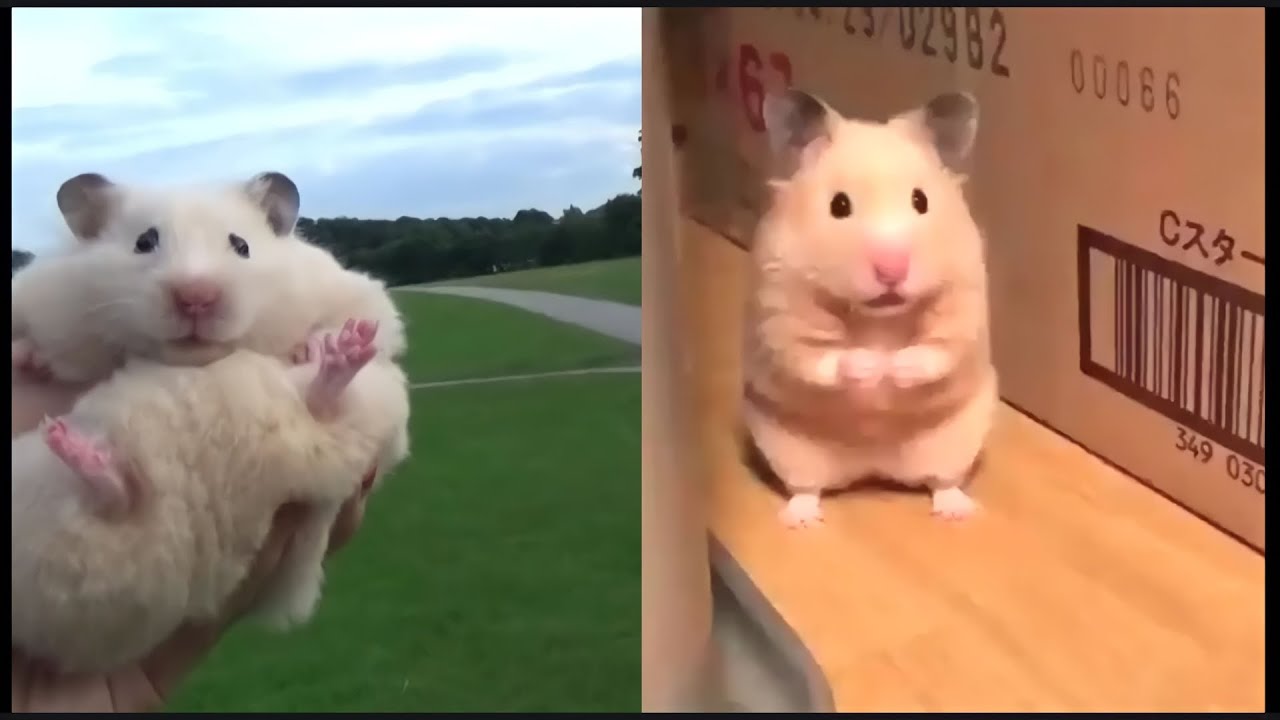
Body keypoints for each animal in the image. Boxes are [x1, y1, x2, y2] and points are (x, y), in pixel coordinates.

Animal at [742, 88, 997, 529]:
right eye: (839, 205)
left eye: (920, 200)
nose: (892, 268)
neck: (879, 318)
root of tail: (873, 468)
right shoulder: (781, 317)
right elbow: (820, 359)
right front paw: (873, 366)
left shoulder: (963, 306)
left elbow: (936, 351)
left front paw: (894, 368)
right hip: (787, 449)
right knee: (805, 489)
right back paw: (800, 520)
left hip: (957, 442)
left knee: (943, 481)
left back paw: (956, 511)